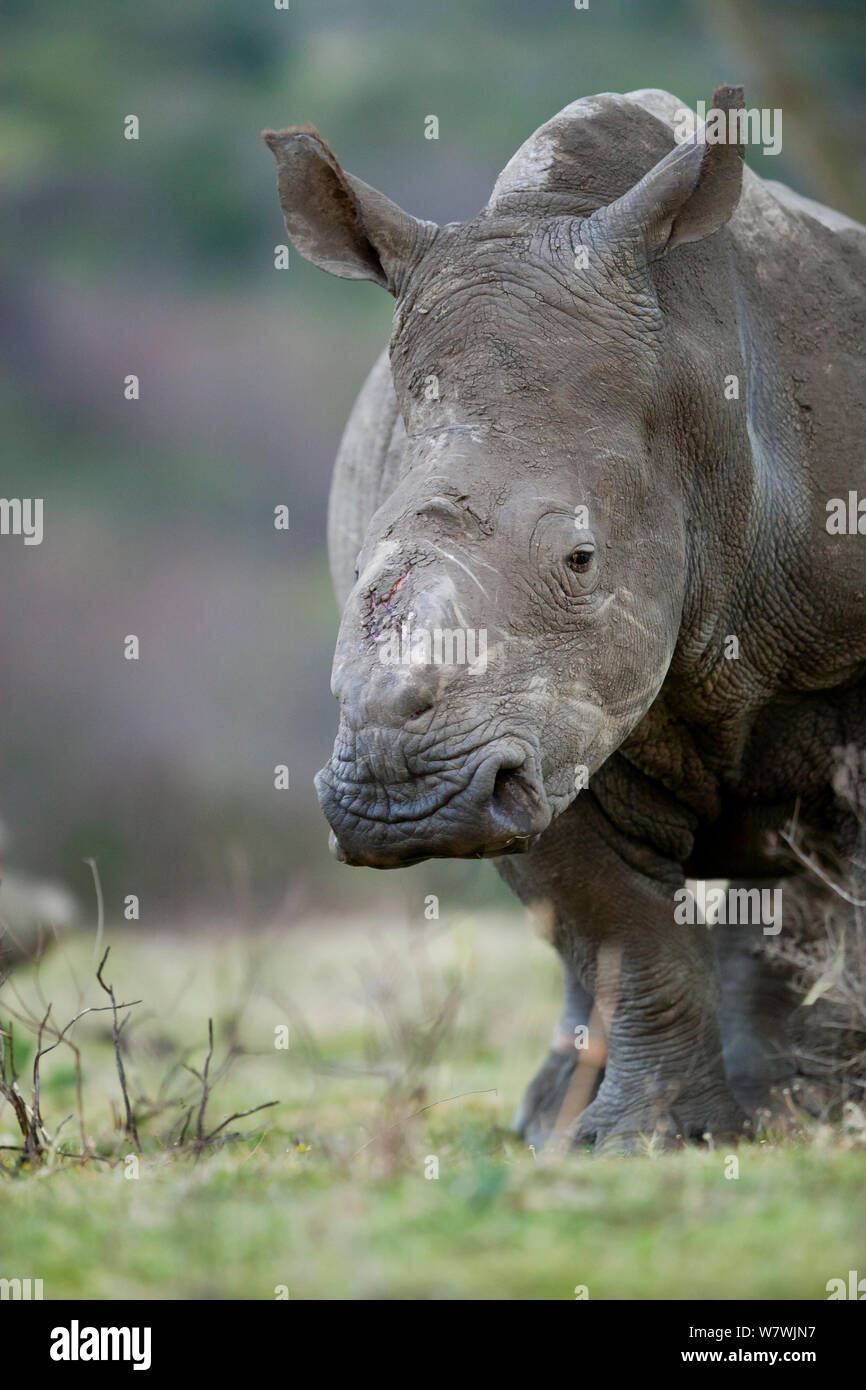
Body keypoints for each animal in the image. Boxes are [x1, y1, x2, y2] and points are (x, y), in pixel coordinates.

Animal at [265, 87, 866, 1152]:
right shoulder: (535, 732)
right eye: (359, 561)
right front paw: (650, 1142)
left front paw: (793, 1114)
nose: (398, 794)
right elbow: (613, 928)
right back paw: (557, 1119)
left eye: (580, 561)